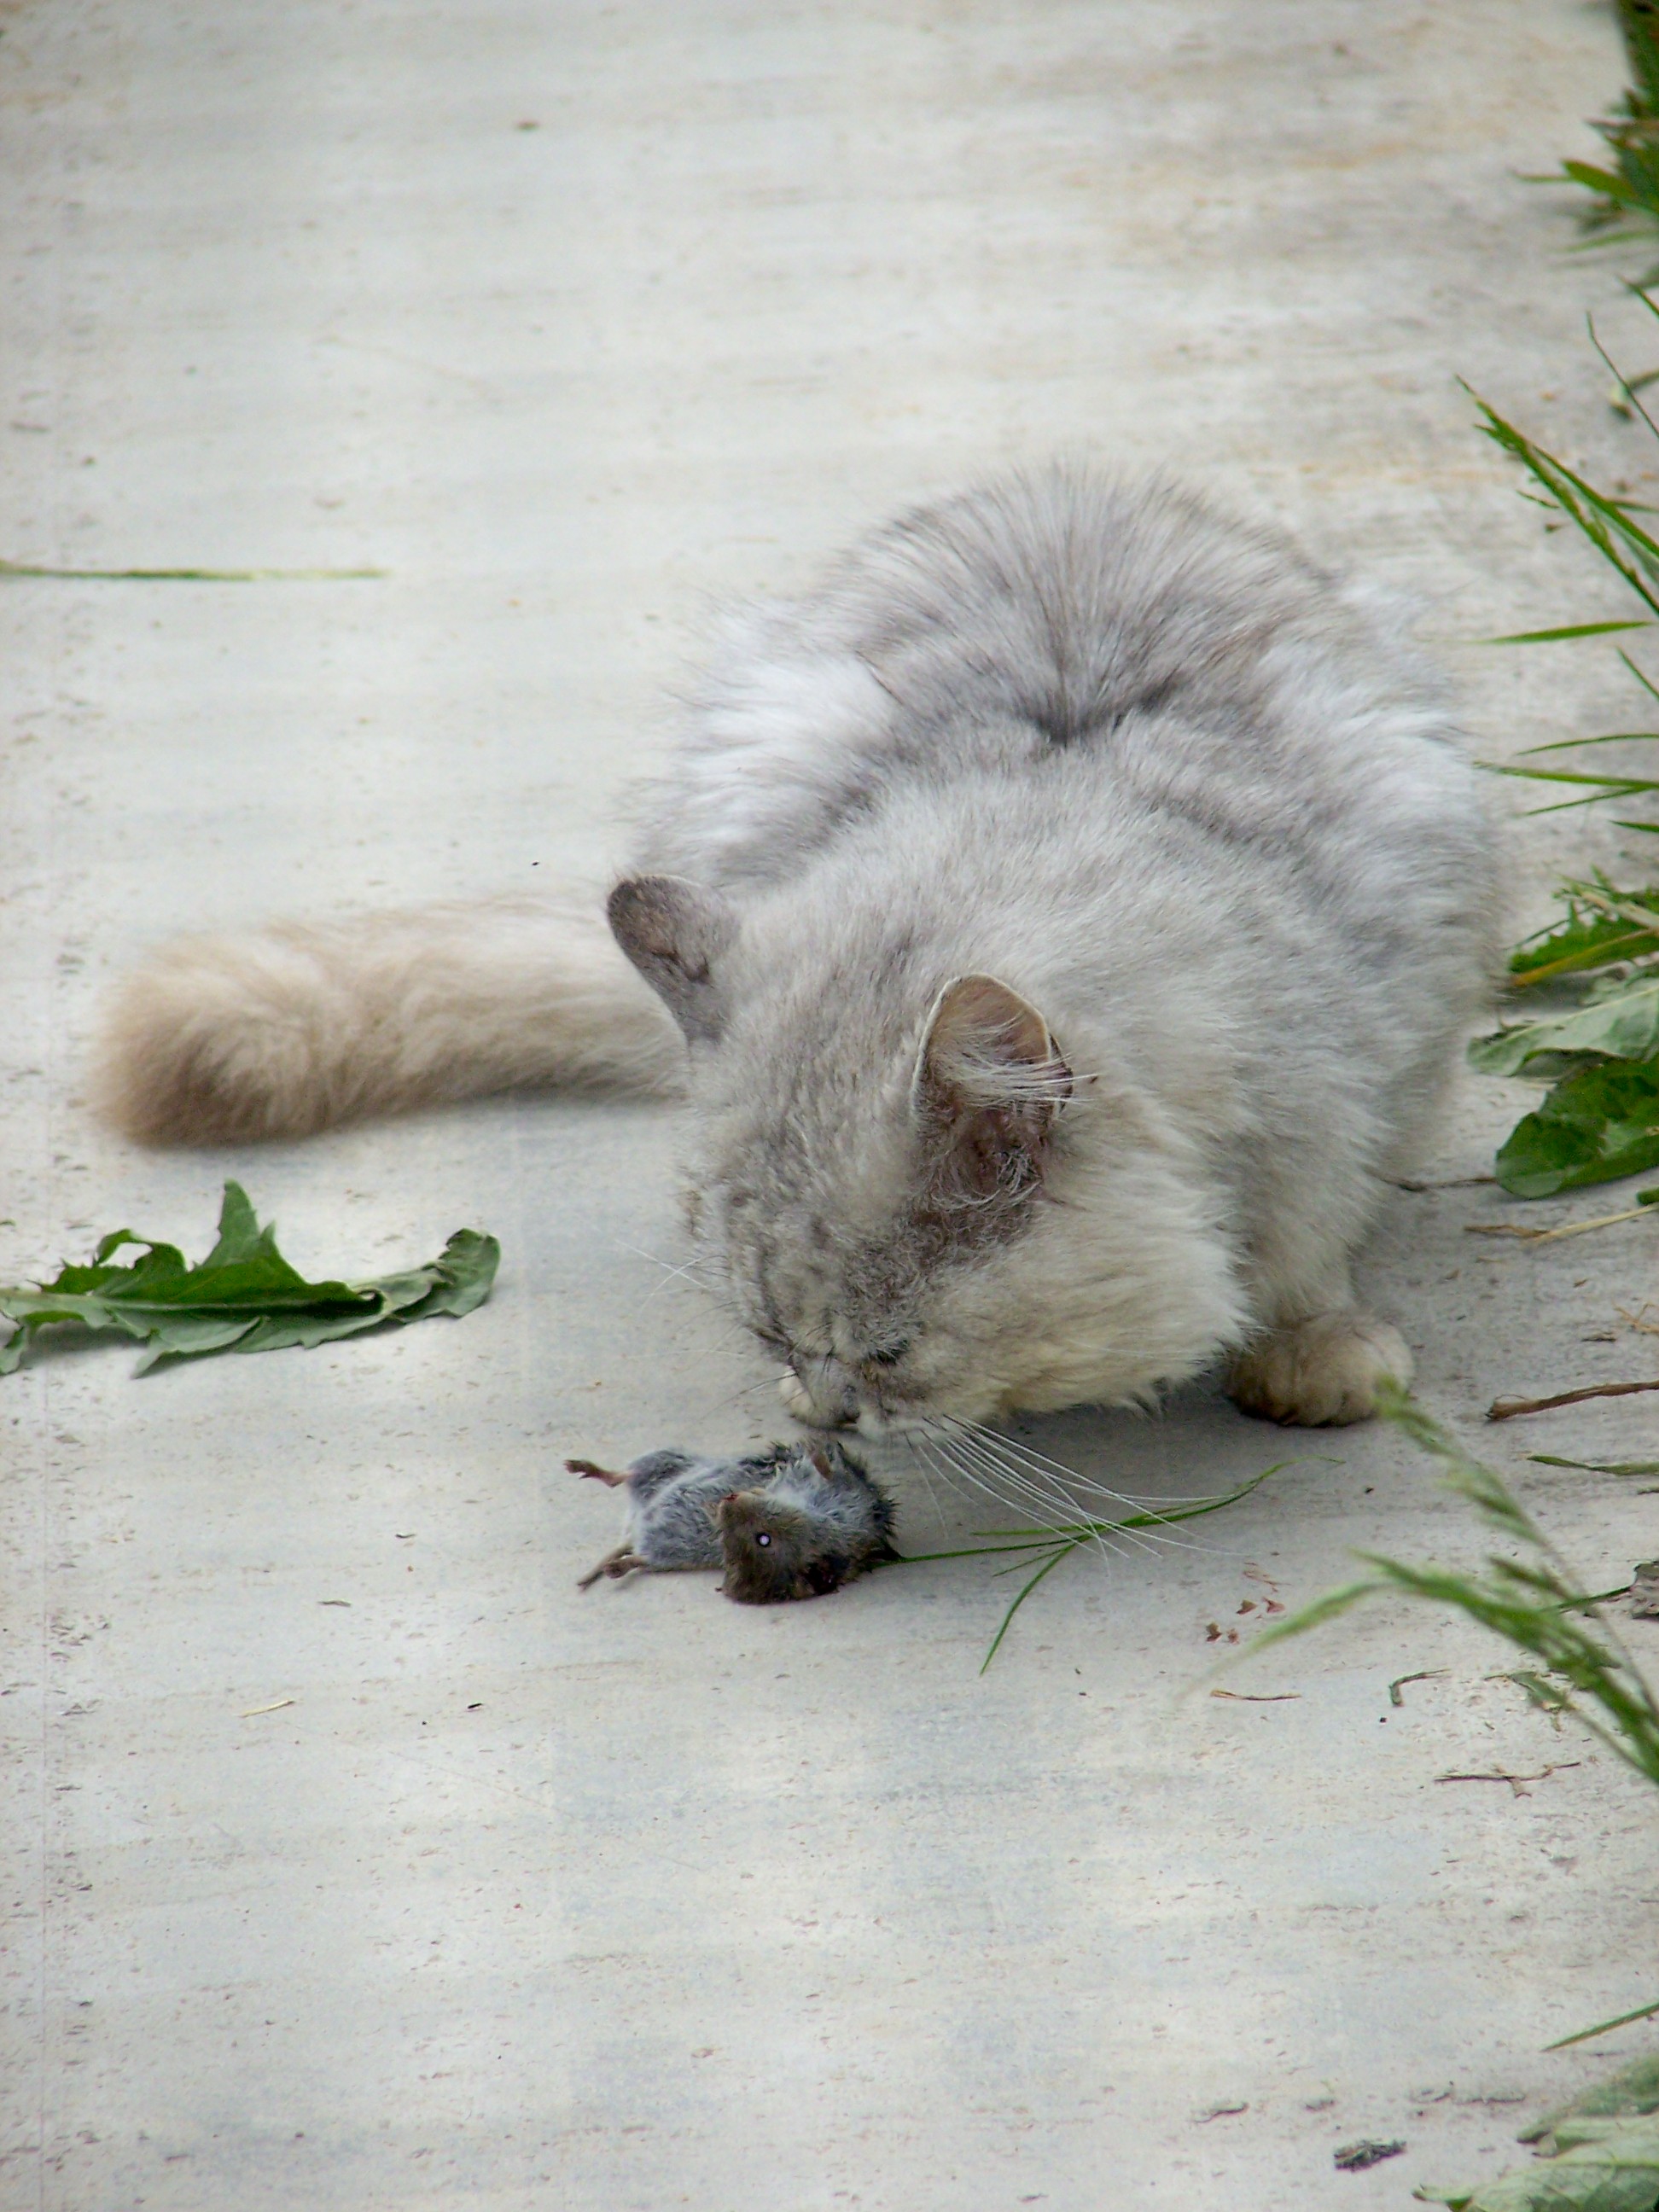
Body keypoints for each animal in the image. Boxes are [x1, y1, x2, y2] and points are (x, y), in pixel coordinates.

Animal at [100, 471, 1504, 1433]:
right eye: (771, 1333)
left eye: (889, 1353)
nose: (831, 1416)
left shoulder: (1348, 1076)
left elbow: (1310, 1235)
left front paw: (1315, 1353)